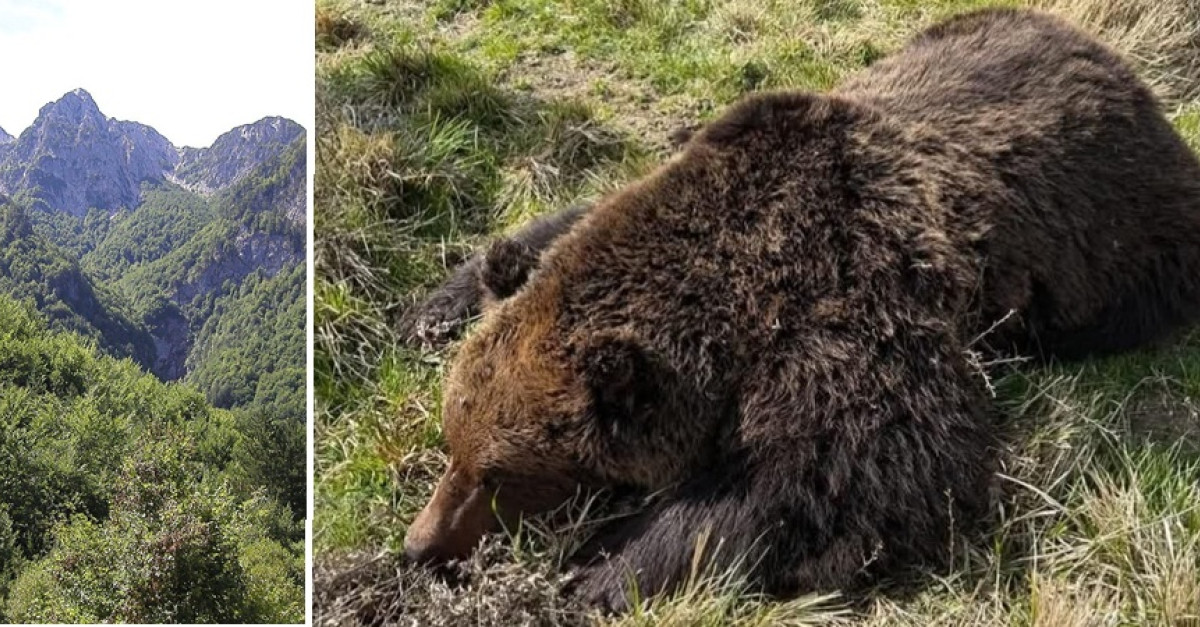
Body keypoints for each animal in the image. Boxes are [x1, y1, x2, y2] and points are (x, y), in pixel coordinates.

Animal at [402, 8, 1200, 610]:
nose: (419, 544)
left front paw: (602, 564)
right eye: (453, 443)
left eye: (497, 475)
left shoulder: (846, 299)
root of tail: (1117, 65)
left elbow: (850, 467)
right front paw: (438, 303)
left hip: (1129, 236)